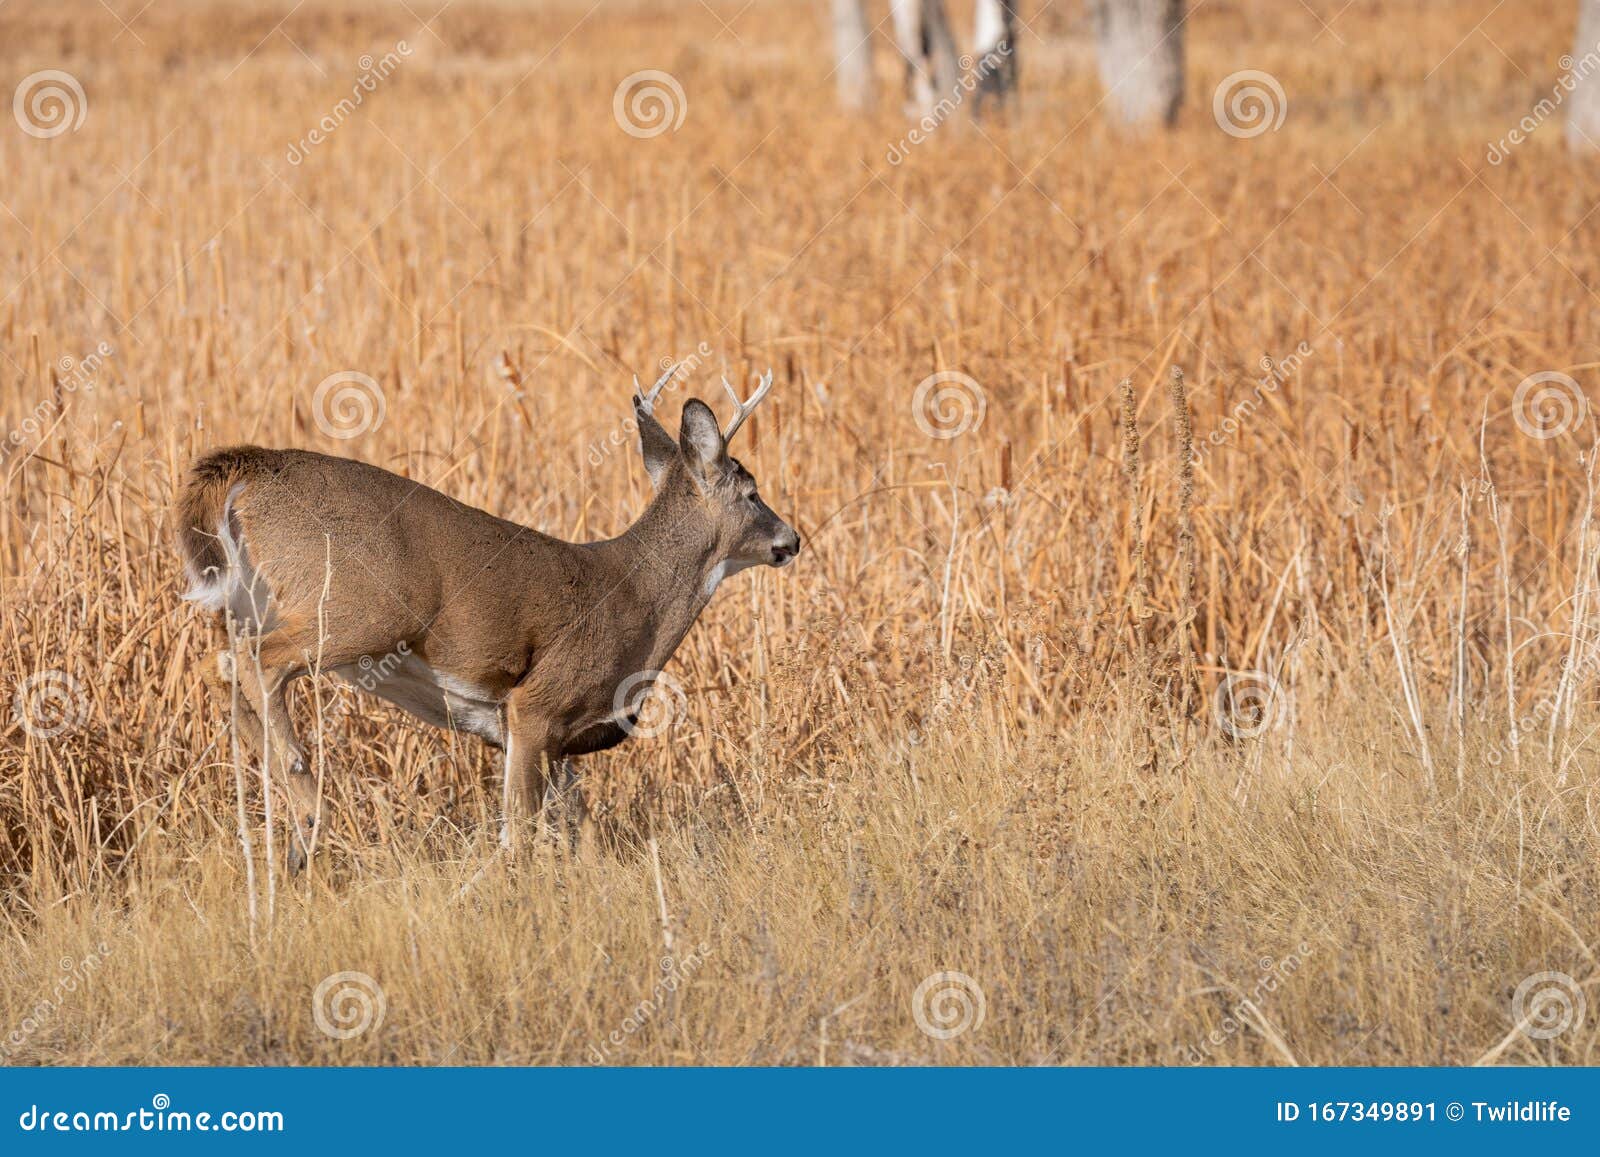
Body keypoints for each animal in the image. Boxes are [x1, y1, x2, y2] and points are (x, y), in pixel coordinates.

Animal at [174, 369, 799, 872]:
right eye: (751, 491)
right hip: (361, 610)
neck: (639, 602)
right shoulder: (537, 701)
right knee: (258, 662)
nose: (791, 539)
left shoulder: (537, 733)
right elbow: (517, 834)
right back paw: (309, 813)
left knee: (221, 665)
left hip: (260, 604)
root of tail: (250, 473)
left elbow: (582, 830)